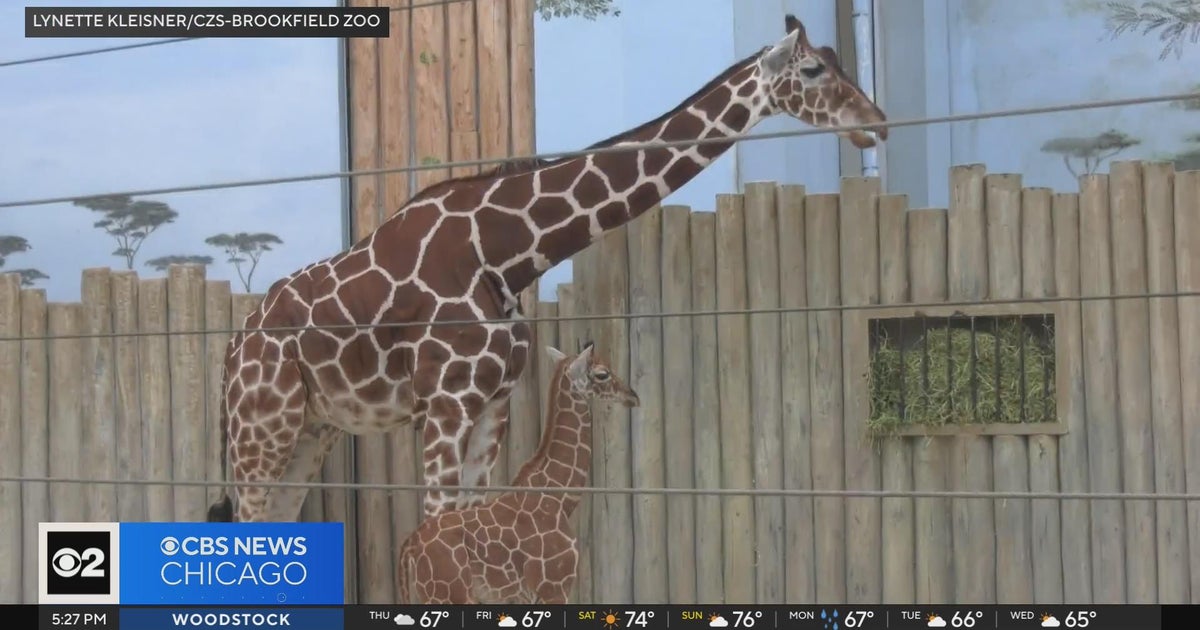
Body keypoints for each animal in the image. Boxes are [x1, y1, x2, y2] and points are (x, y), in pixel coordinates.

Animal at [206, 13, 887, 523]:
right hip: (262, 427)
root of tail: (234, 348)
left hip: (311, 431)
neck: (507, 256)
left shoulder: (491, 407)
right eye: (813, 69)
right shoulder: (445, 404)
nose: (877, 125)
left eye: (837, 62)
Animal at [396, 342, 638, 604]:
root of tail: (409, 546)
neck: (559, 498)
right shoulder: (554, 586)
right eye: (603, 374)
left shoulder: (523, 596)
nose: (632, 396)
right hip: (450, 594)